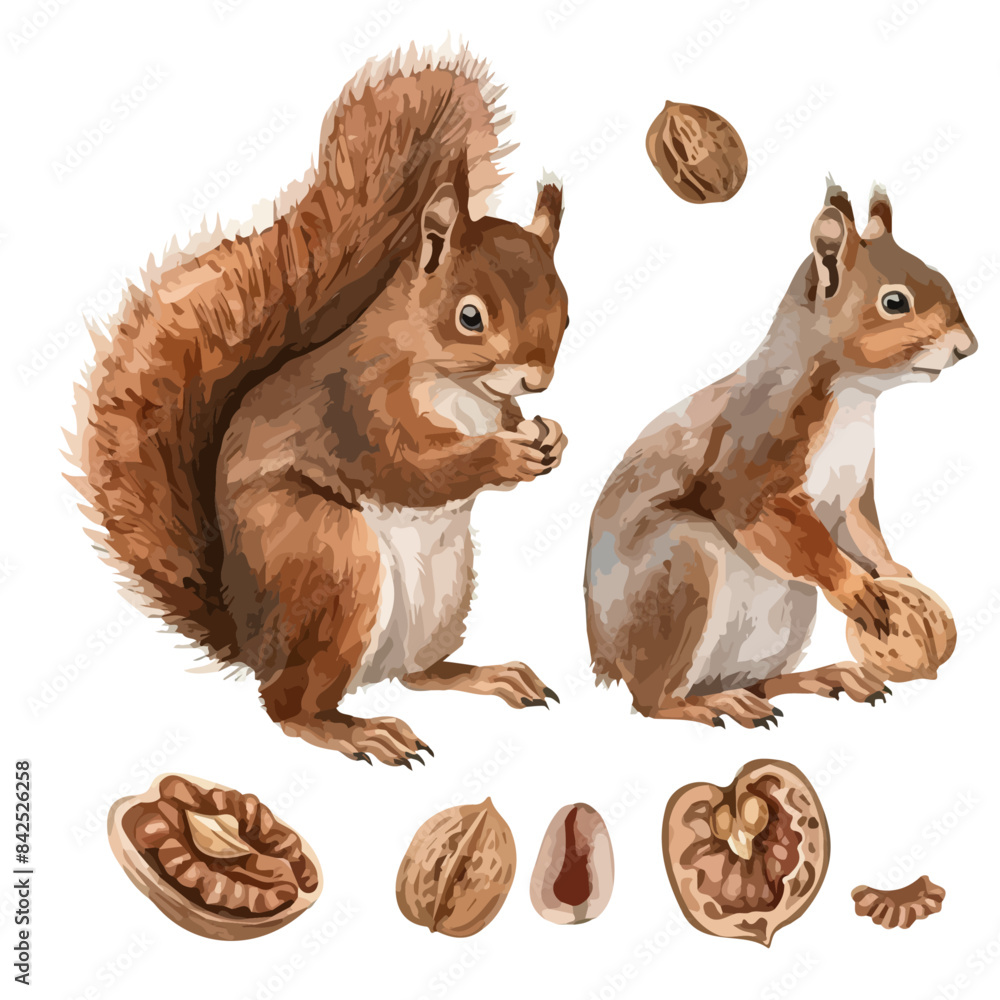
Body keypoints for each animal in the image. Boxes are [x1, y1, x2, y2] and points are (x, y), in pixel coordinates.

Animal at [75, 46, 569, 766]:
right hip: (330, 559)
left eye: (564, 305)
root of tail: (250, 639)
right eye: (470, 317)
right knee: (289, 708)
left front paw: (550, 438)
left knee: (417, 674)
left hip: (444, 595)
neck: (459, 388)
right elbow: (414, 471)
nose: (536, 380)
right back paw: (359, 731)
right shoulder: (362, 408)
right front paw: (502, 456)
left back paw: (489, 675)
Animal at [584, 182, 976, 728]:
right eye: (894, 302)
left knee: (757, 679)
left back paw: (822, 678)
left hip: (787, 617)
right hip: (681, 570)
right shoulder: (749, 465)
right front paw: (853, 587)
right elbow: (777, 526)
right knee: (651, 702)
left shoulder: (852, 496)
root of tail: (606, 662)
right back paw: (710, 705)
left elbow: (863, 535)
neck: (854, 396)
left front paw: (896, 571)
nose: (969, 347)